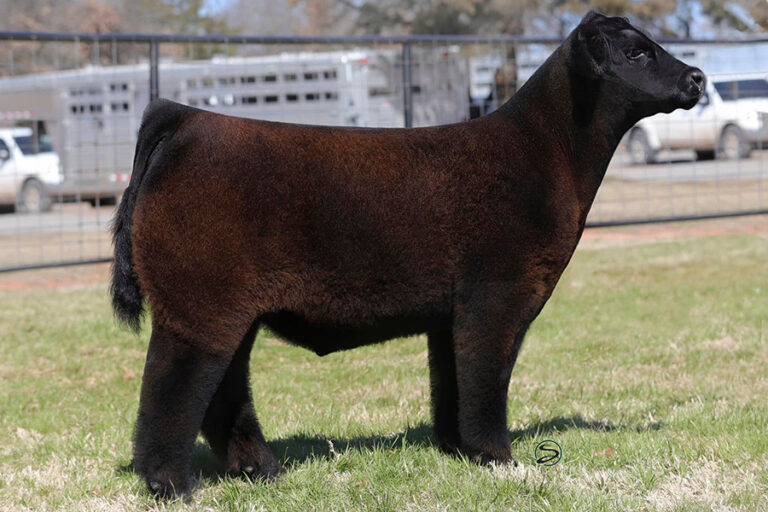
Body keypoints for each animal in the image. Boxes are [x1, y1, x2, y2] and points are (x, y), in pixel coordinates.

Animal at [111, 11, 704, 497]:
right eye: (636, 52)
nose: (697, 77)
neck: (541, 152)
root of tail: (187, 118)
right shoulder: (497, 298)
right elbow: (487, 381)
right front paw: (500, 459)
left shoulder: (451, 315)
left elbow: (453, 384)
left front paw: (460, 452)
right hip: (200, 305)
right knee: (171, 388)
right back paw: (171, 485)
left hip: (229, 312)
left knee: (224, 393)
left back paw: (264, 471)